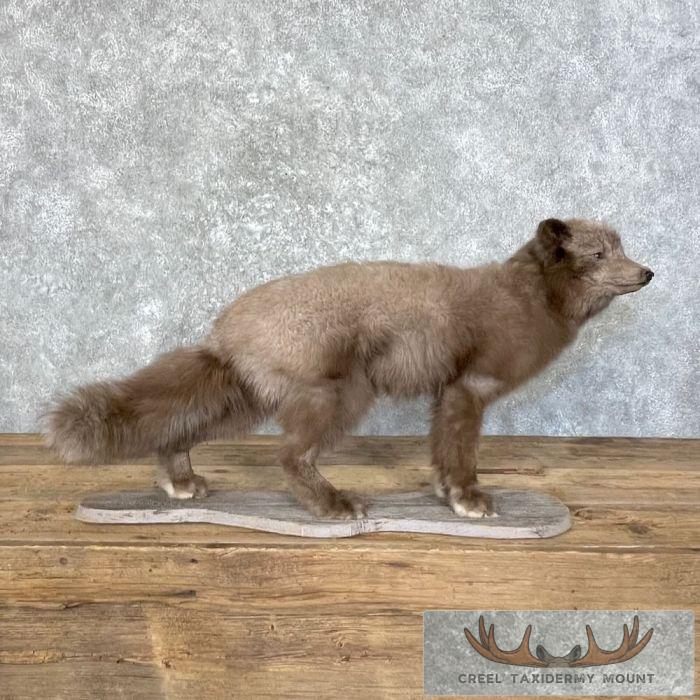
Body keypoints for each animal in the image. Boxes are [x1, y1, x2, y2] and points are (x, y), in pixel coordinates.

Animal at [42, 218, 653, 520]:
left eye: (623, 247)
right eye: (599, 255)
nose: (647, 272)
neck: (528, 300)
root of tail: (225, 329)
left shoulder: (447, 393)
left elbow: (442, 451)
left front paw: (443, 495)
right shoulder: (469, 388)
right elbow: (461, 454)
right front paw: (467, 501)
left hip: (252, 399)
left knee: (179, 432)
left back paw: (182, 485)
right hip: (338, 396)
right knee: (289, 457)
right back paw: (335, 507)